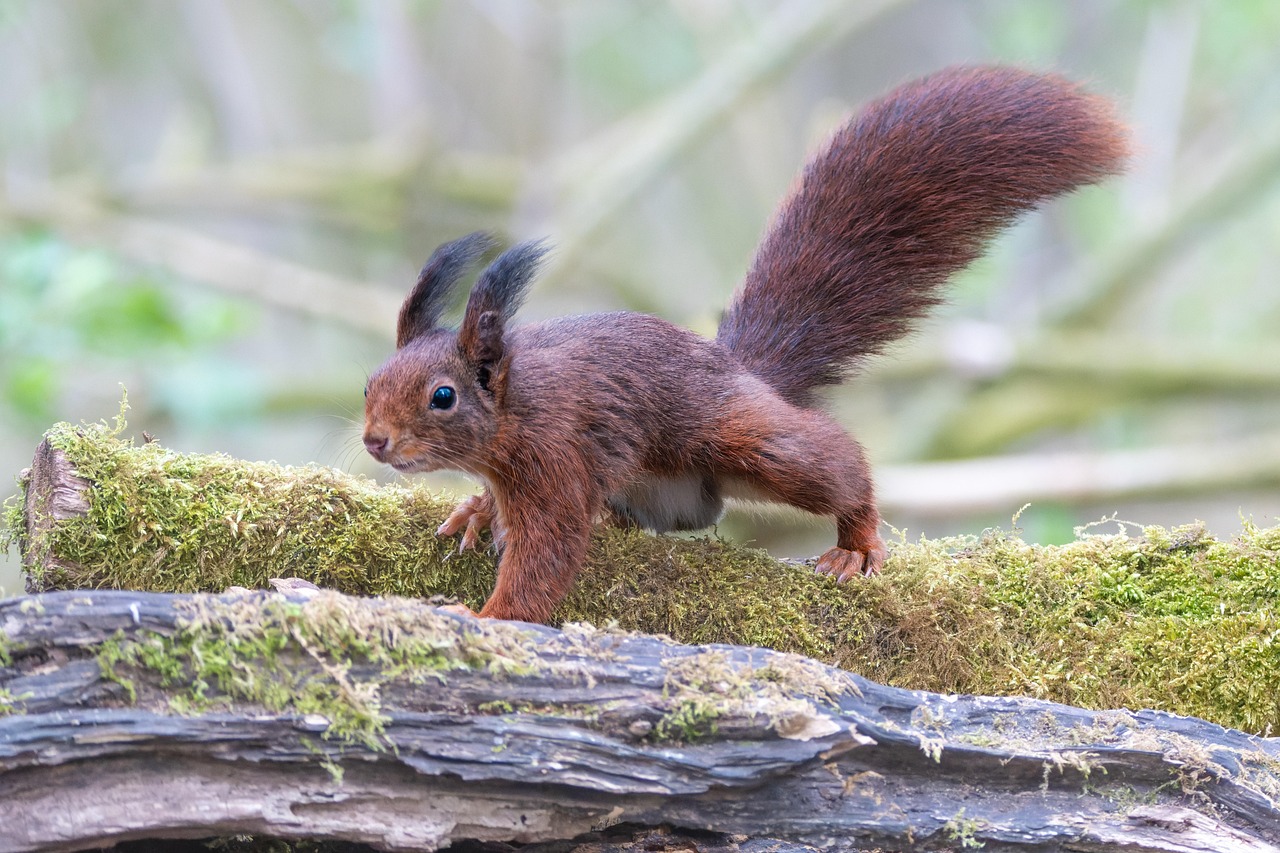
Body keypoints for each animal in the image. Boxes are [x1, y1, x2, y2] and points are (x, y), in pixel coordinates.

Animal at [362, 66, 1128, 623]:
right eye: (370, 383)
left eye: (442, 396)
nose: (374, 440)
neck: (515, 403)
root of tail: (737, 367)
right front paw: (475, 508)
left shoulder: (555, 458)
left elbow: (547, 557)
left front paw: (487, 616)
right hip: (669, 493)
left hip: (739, 439)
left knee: (832, 461)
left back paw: (857, 541)